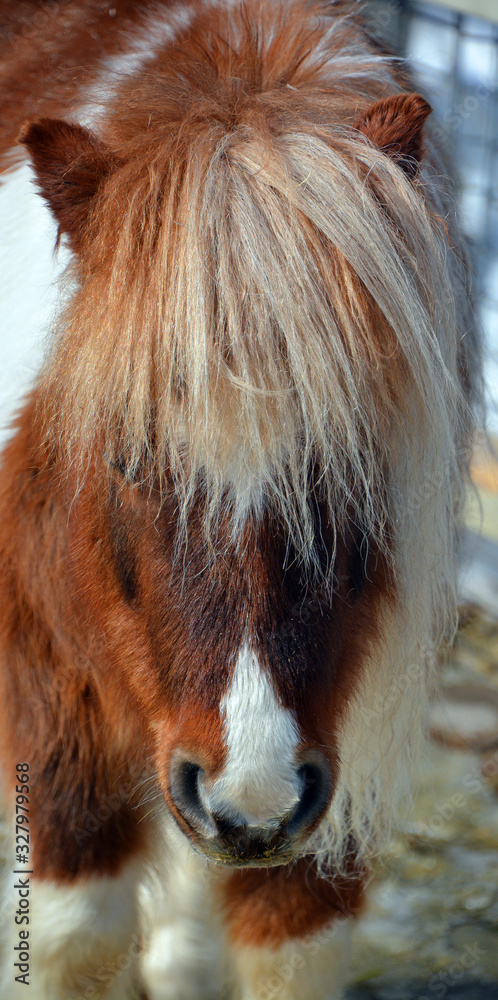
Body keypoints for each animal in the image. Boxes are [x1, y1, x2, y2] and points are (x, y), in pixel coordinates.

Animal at [0, 1, 481, 998]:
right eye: (125, 460)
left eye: (358, 462)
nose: (254, 798)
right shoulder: (50, 706)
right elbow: (76, 937)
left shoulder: (337, 750)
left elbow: (286, 943)